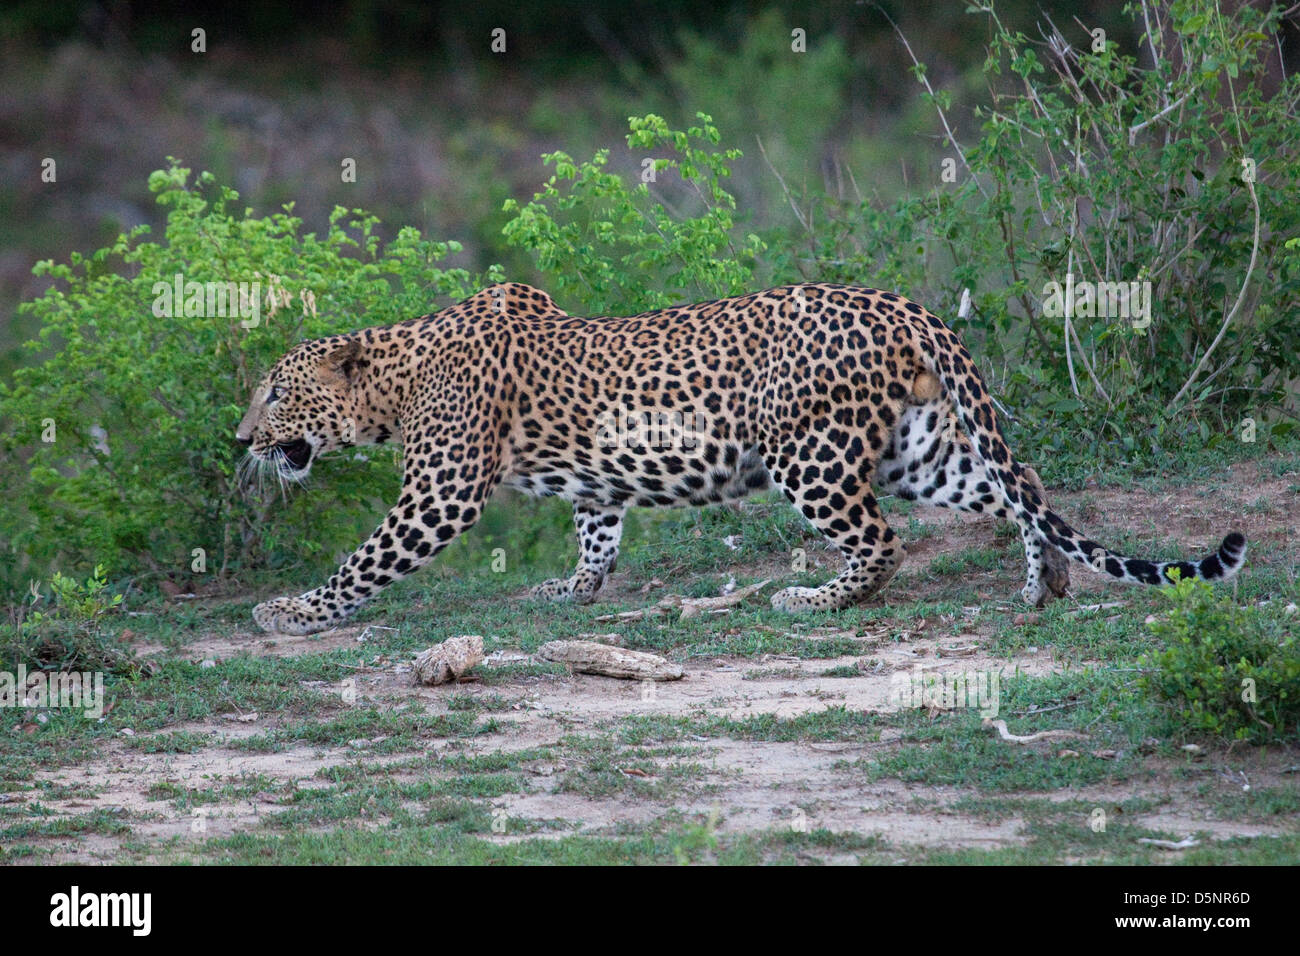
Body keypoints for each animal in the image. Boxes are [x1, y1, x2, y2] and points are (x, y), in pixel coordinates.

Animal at [236, 281, 1246, 635]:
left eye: (275, 393)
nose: (242, 440)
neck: (395, 380)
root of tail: (904, 304)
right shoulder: (598, 479)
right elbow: (597, 532)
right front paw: (574, 590)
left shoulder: (439, 492)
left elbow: (365, 560)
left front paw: (293, 611)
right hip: (918, 448)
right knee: (1020, 484)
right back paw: (1044, 587)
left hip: (810, 451)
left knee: (882, 542)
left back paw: (817, 599)